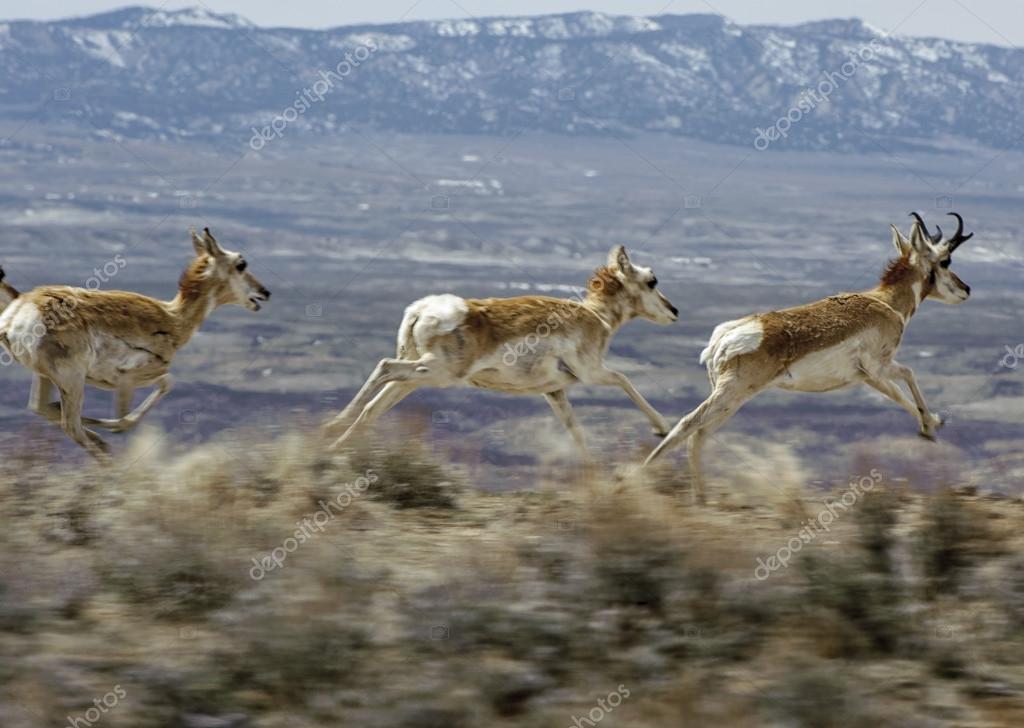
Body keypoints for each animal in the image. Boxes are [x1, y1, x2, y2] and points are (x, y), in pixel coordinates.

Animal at [0, 228, 271, 459]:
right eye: (241, 264)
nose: (265, 292)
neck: (173, 318)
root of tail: (18, 312)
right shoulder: (130, 377)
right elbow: (162, 386)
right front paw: (117, 428)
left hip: (47, 376)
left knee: (41, 407)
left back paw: (98, 441)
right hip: (72, 381)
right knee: (70, 425)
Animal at [324, 246, 678, 455]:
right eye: (652, 280)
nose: (674, 311)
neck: (595, 317)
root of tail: (421, 310)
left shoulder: (555, 393)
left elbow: (576, 433)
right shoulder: (593, 373)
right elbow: (624, 380)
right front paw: (661, 428)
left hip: (415, 379)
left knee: (374, 405)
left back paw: (334, 444)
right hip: (435, 372)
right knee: (384, 367)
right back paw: (333, 427)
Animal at [644, 212, 974, 503]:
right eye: (945, 260)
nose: (966, 288)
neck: (885, 303)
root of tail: (721, 340)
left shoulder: (868, 377)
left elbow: (900, 390)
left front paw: (929, 426)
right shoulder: (878, 368)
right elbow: (908, 376)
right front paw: (930, 425)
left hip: (733, 401)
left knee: (698, 435)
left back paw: (701, 499)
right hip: (730, 395)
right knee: (686, 424)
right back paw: (640, 479)